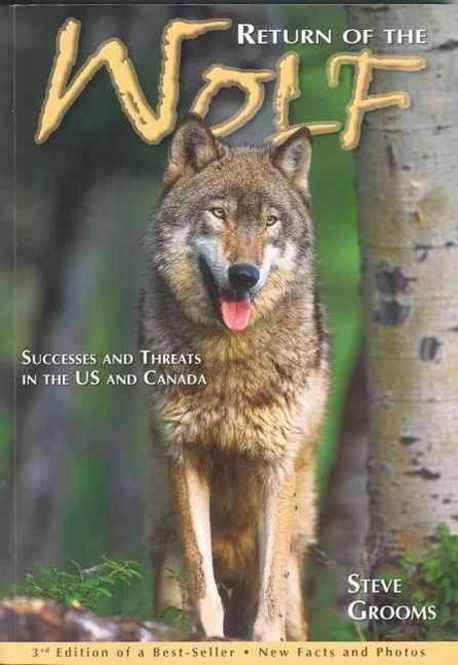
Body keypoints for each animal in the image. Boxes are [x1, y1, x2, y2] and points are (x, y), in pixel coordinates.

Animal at [139, 115, 329, 641]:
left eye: (270, 221)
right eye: (219, 213)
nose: (245, 275)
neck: (229, 359)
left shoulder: (275, 465)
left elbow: (268, 600)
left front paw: (263, 640)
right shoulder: (184, 456)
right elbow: (202, 579)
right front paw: (211, 635)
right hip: (163, 562)